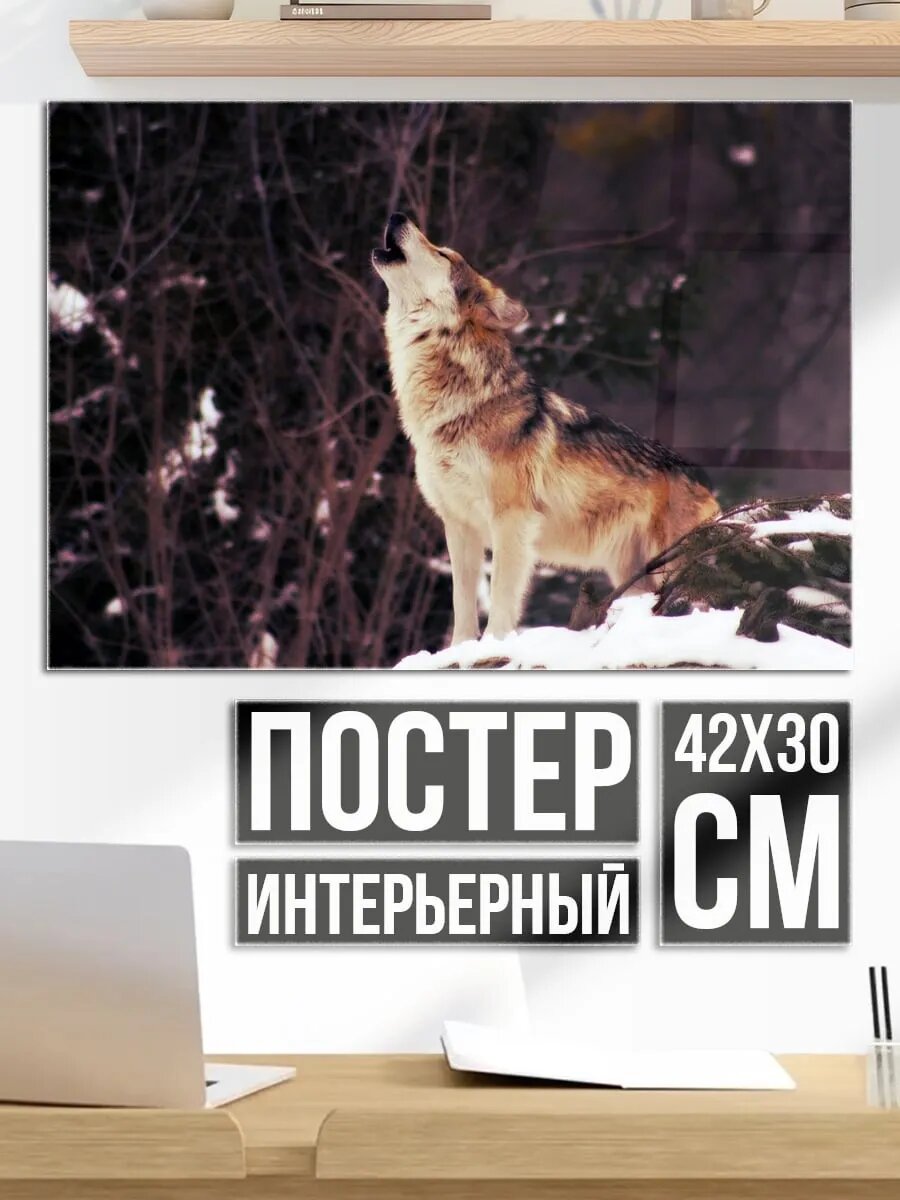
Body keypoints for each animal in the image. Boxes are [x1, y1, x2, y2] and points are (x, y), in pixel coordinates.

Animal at [373, 213, 720, 644]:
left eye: (443, 253)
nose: (397, 215)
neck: (462, 404)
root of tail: (707, 484)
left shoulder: (512, 520)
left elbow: (502, 598)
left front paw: (495, 645)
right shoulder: (459, 525)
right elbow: (462, 603)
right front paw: (461, 650)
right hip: (633, 576)